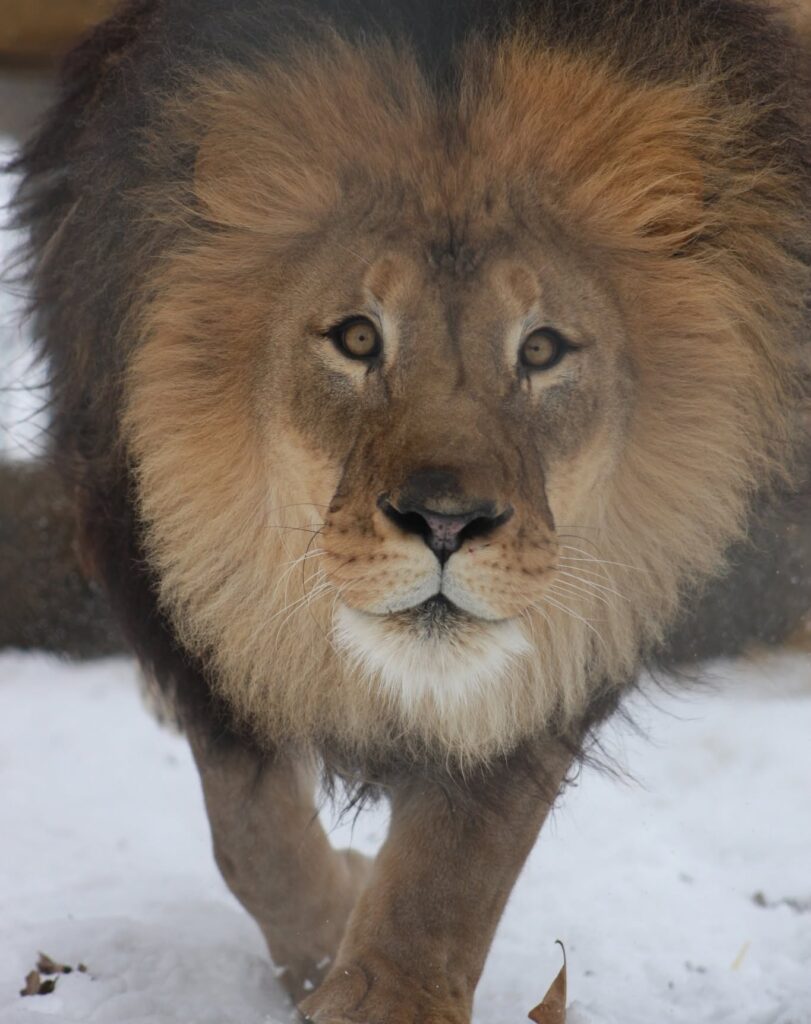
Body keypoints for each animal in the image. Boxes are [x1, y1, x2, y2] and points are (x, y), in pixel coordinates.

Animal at [9, 0, 809, 1020]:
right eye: (357, 339)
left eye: (541, 350)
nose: (446, 524)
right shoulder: (155, 563)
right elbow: (250, 824)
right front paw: (326, 934)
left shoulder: (573, 614)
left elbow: (460, 852)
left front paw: (385, 993)